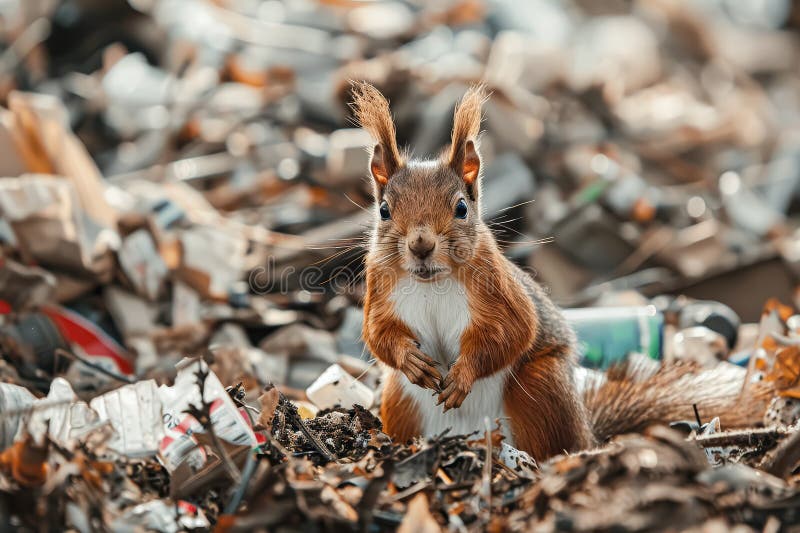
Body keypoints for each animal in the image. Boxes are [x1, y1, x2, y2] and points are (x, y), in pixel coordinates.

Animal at [351, 82, 773, 462]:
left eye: (461, 208)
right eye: (384, 210)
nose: (421, 245)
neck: (432, 281)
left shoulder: (499, 292)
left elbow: (511, 333)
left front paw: (462, 376)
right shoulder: (380, 288)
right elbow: (378, 334)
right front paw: (410, 360)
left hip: (542, 386)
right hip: (399, 402)